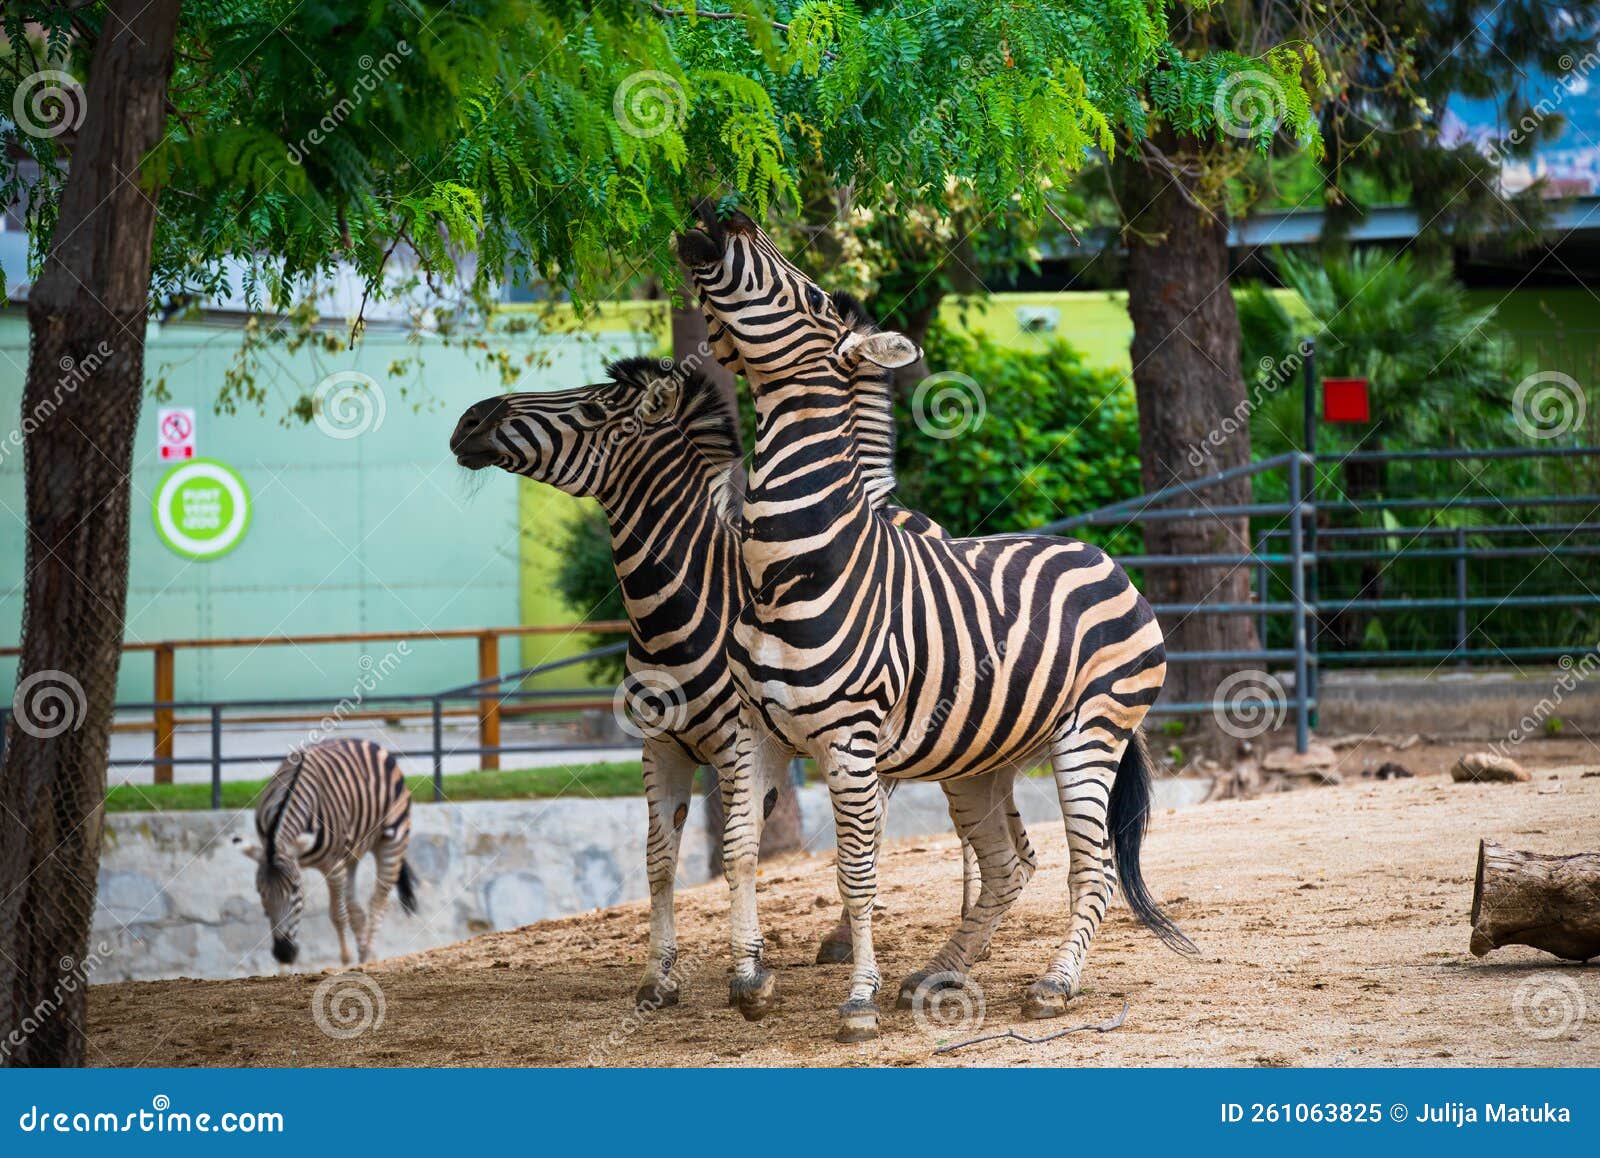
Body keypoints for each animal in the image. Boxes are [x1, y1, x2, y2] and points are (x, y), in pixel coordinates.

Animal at [241, 737, 417, 967]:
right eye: (260, 892)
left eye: (296, 889)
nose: (283, 954)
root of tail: (363, 741)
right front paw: (282, 970)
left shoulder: (334, 866)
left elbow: (337, 914)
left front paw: (346, 960)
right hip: (352, 852)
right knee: (357, 910)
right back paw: (363, 956)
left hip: (391, 840)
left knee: (377, 901)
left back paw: (368, 957)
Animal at [450, 352, 1036, 1013]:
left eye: (596, 409)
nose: (469, 420)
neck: (671, 616)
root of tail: (902, 509)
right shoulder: (660, 748)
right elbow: (659, 859)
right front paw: (659, 978)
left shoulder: (739, 744)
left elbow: (739, 851)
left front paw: (749, 970)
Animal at [677, 201, 1192, 1042]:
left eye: (810, 297)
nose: (724, 213)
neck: (786, 564)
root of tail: (1104, 558)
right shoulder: (757, 729)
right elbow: (741, 852)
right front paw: (749, 980)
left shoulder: (851, 742)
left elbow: (857, 873)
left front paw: (857, 998)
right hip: (984, 757)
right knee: (1011, 865)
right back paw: (940, 971)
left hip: (1091, 733)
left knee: (1092, 868)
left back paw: (1055, 984)